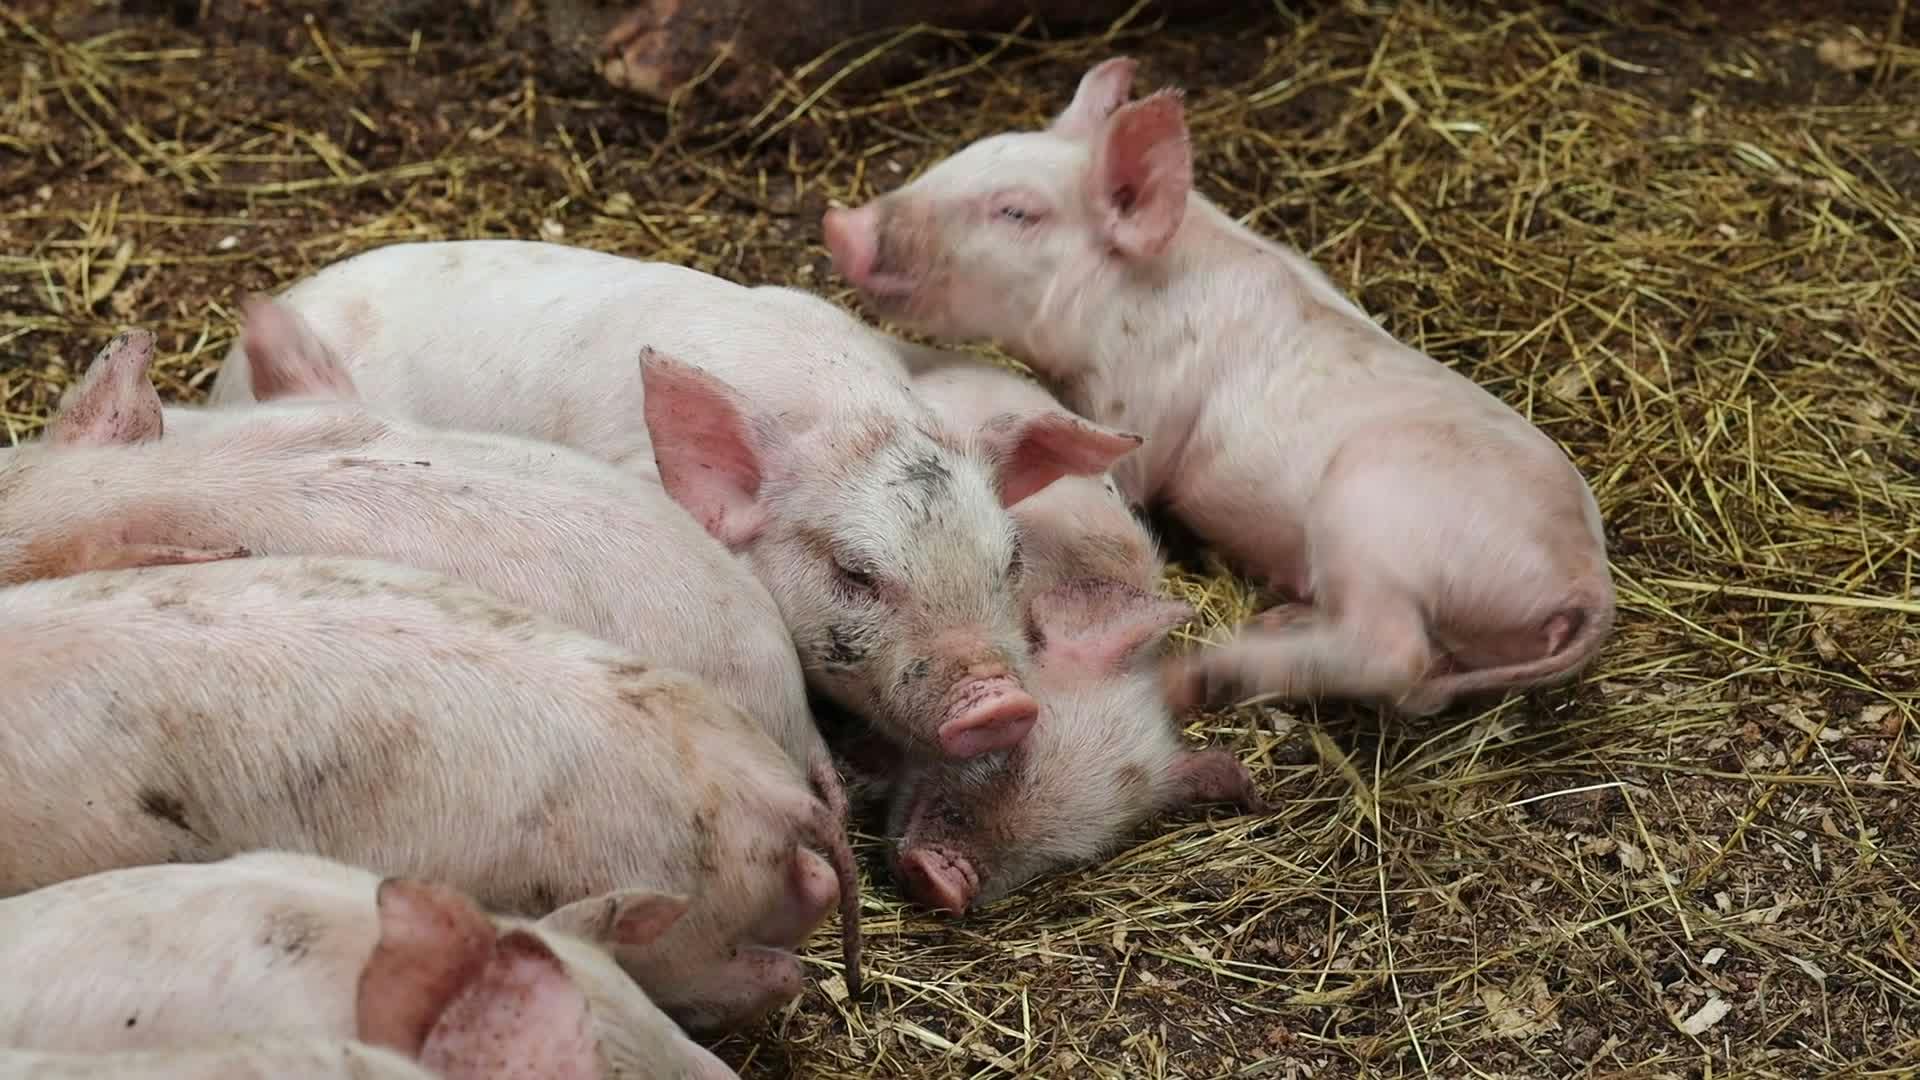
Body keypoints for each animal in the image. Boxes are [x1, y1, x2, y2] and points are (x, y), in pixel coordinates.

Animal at [822, 57, 1617, 718]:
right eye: (959, 157)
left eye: (1016, 211)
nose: (842, 223)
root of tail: (1587, 579)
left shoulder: (1136, 408)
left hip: (1374, 515)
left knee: (1393, 653)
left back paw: (1195, 676)